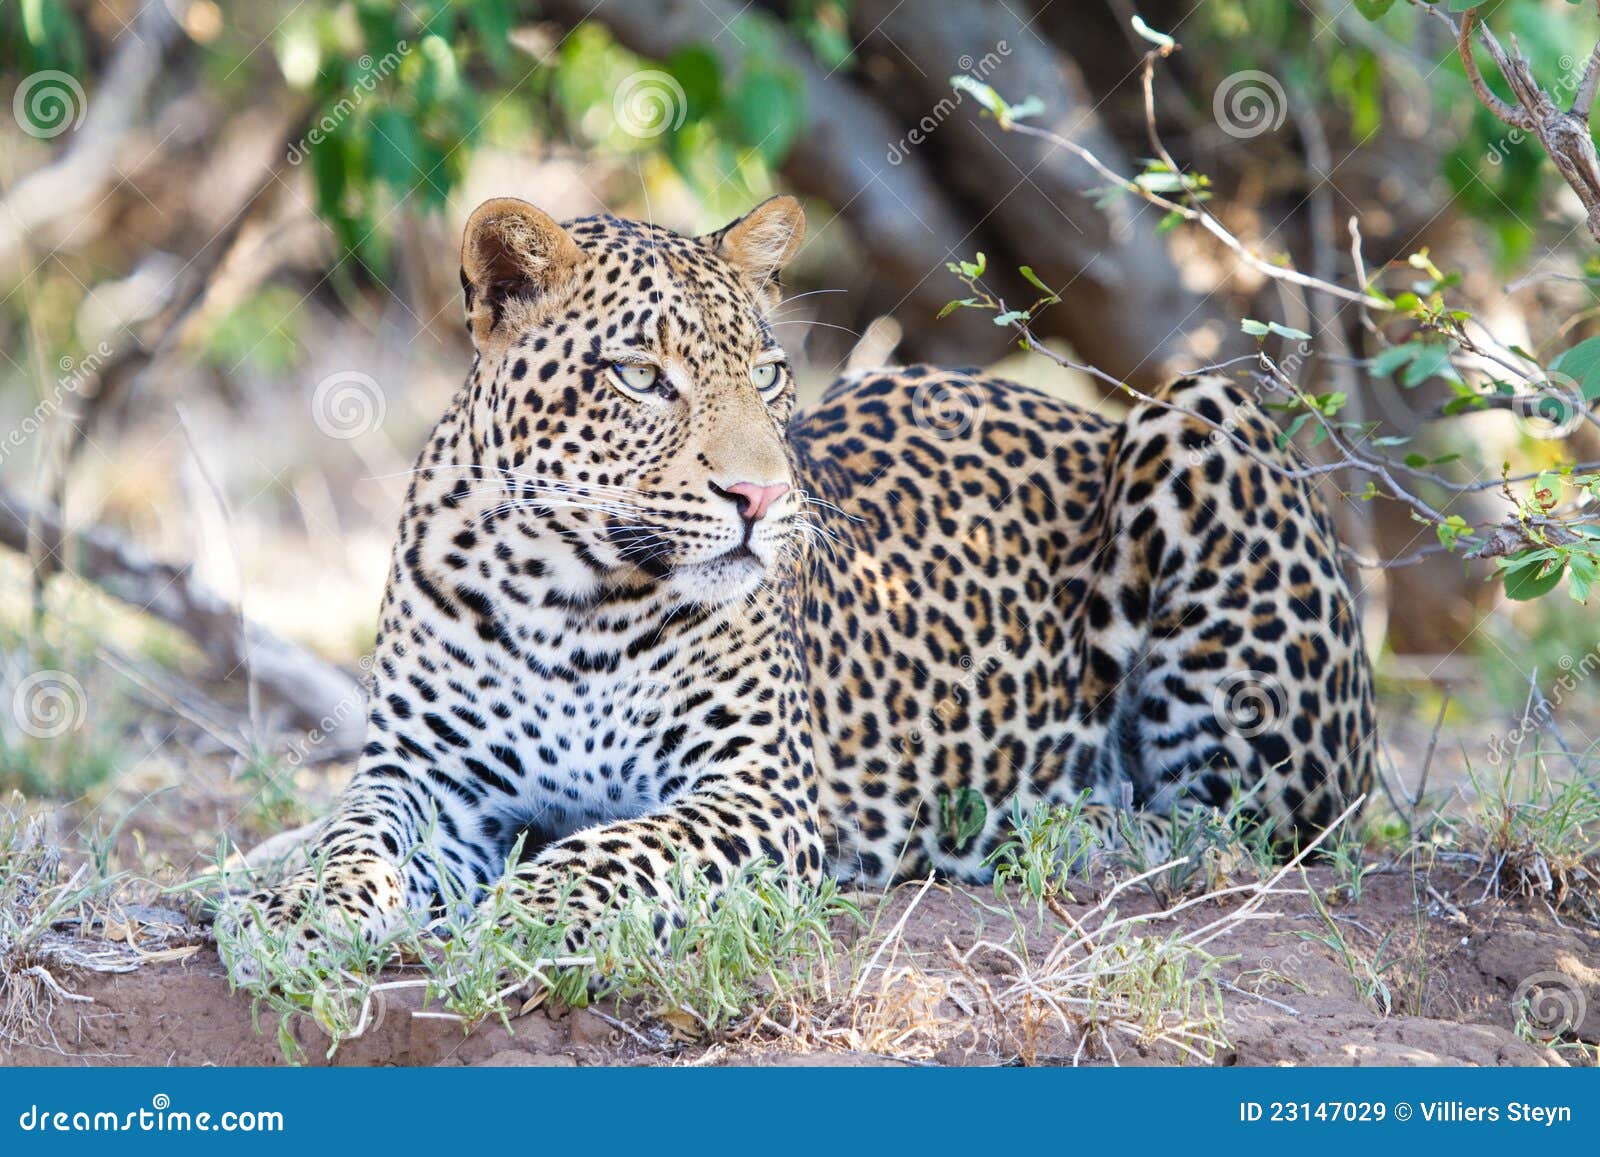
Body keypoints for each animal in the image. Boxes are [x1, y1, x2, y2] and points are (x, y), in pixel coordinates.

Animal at [221, 194, 1374, 980]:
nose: (763, 495)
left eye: (767, 375)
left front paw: (526, 910)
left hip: (1203, 414)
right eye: (639, 376)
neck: (566, 596)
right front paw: (294, 912)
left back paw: (1064, 828)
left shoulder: (759, 788)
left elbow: (618, 846)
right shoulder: (425, 775)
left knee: (1250, 825)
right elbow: (354, 838)